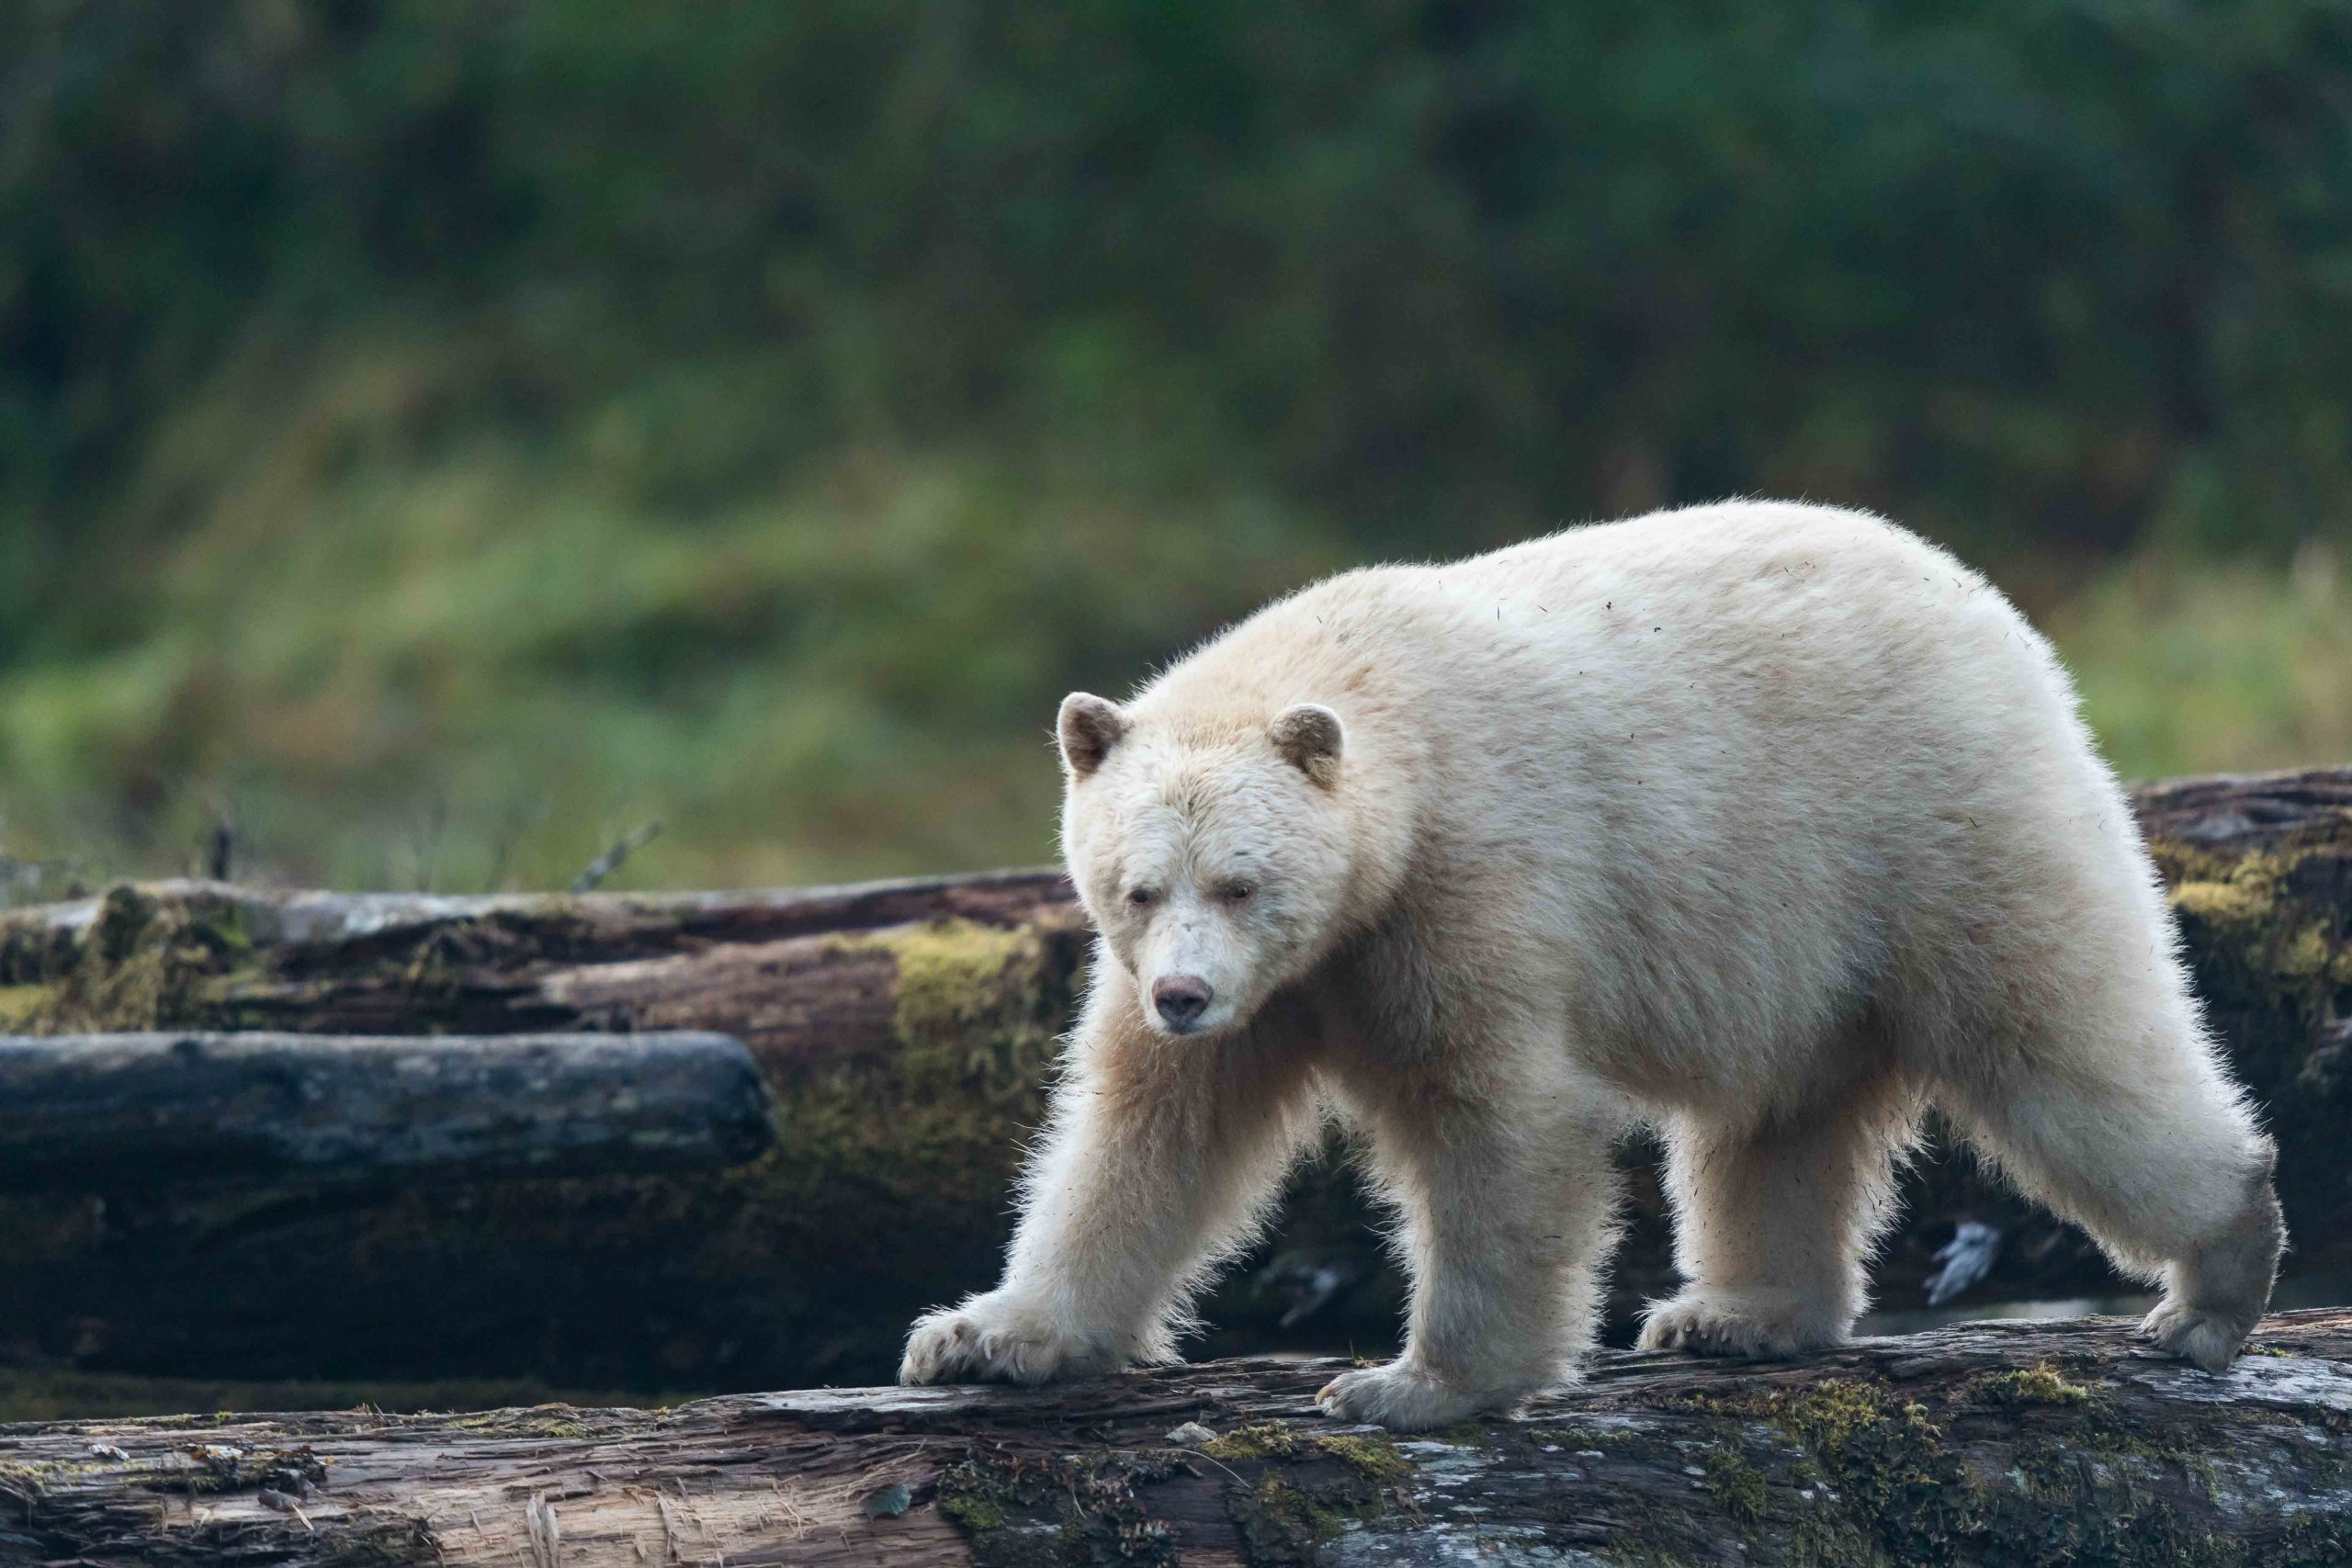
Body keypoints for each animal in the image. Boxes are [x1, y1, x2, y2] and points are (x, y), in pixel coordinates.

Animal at [898, 500, 2285, 1431]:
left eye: (1242, 881)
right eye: (1137, 887)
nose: (1183, 994)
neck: (1373, 702)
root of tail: (1993, 609)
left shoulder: (1465, 882)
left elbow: (1500, 1118)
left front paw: (1407, 1384)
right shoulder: (1275, 982)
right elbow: (1148, 1132)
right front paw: (980, 1335)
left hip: (1935, 820)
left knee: (2056, 1034)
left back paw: (2218, 1271)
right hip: (1799, 920)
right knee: (1780, 1112)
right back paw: (1737, 1312)